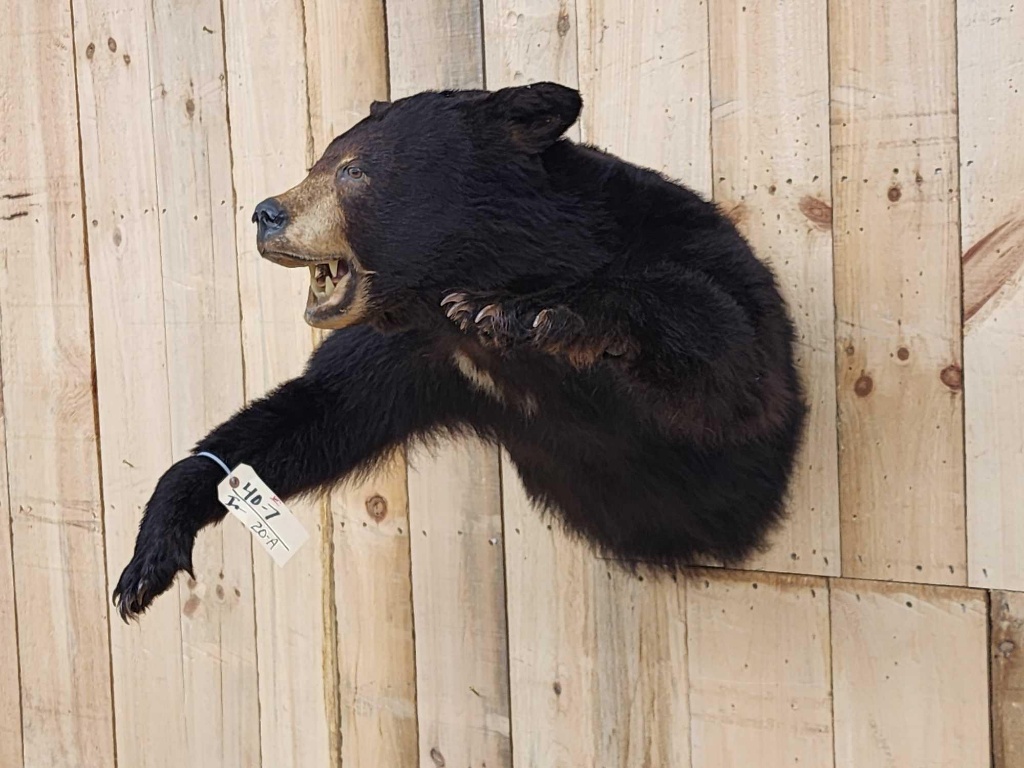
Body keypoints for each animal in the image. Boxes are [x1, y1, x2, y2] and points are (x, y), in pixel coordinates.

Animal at [113, 82, 806, 621]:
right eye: (319, 161)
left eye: (353, 170)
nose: (266, 213)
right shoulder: (412, 353)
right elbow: (318, 410)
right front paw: (149, 554)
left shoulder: (680, 248)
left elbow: (734, 364)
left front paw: (531, 312)